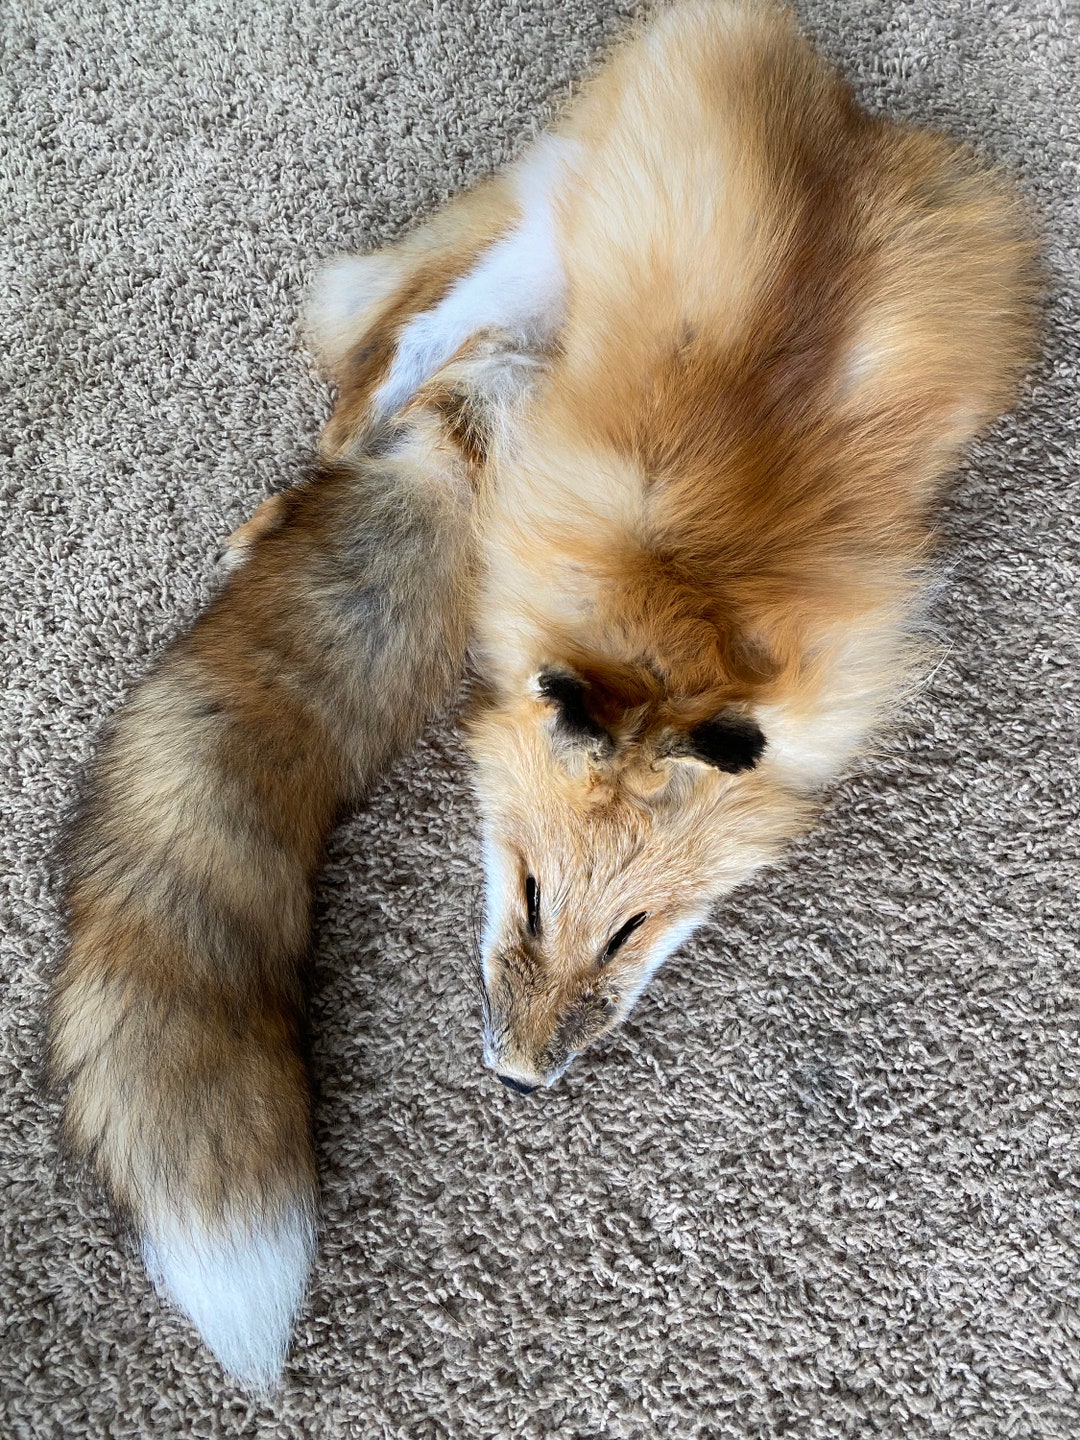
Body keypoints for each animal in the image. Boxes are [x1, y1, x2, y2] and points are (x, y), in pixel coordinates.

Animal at [48, 0, 1036, 1394]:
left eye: (629, 932)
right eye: (523, 892)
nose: (517, 1082)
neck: (693, 601)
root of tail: (841, 101)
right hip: (510, 266)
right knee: (365, 377)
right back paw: (282, 502)